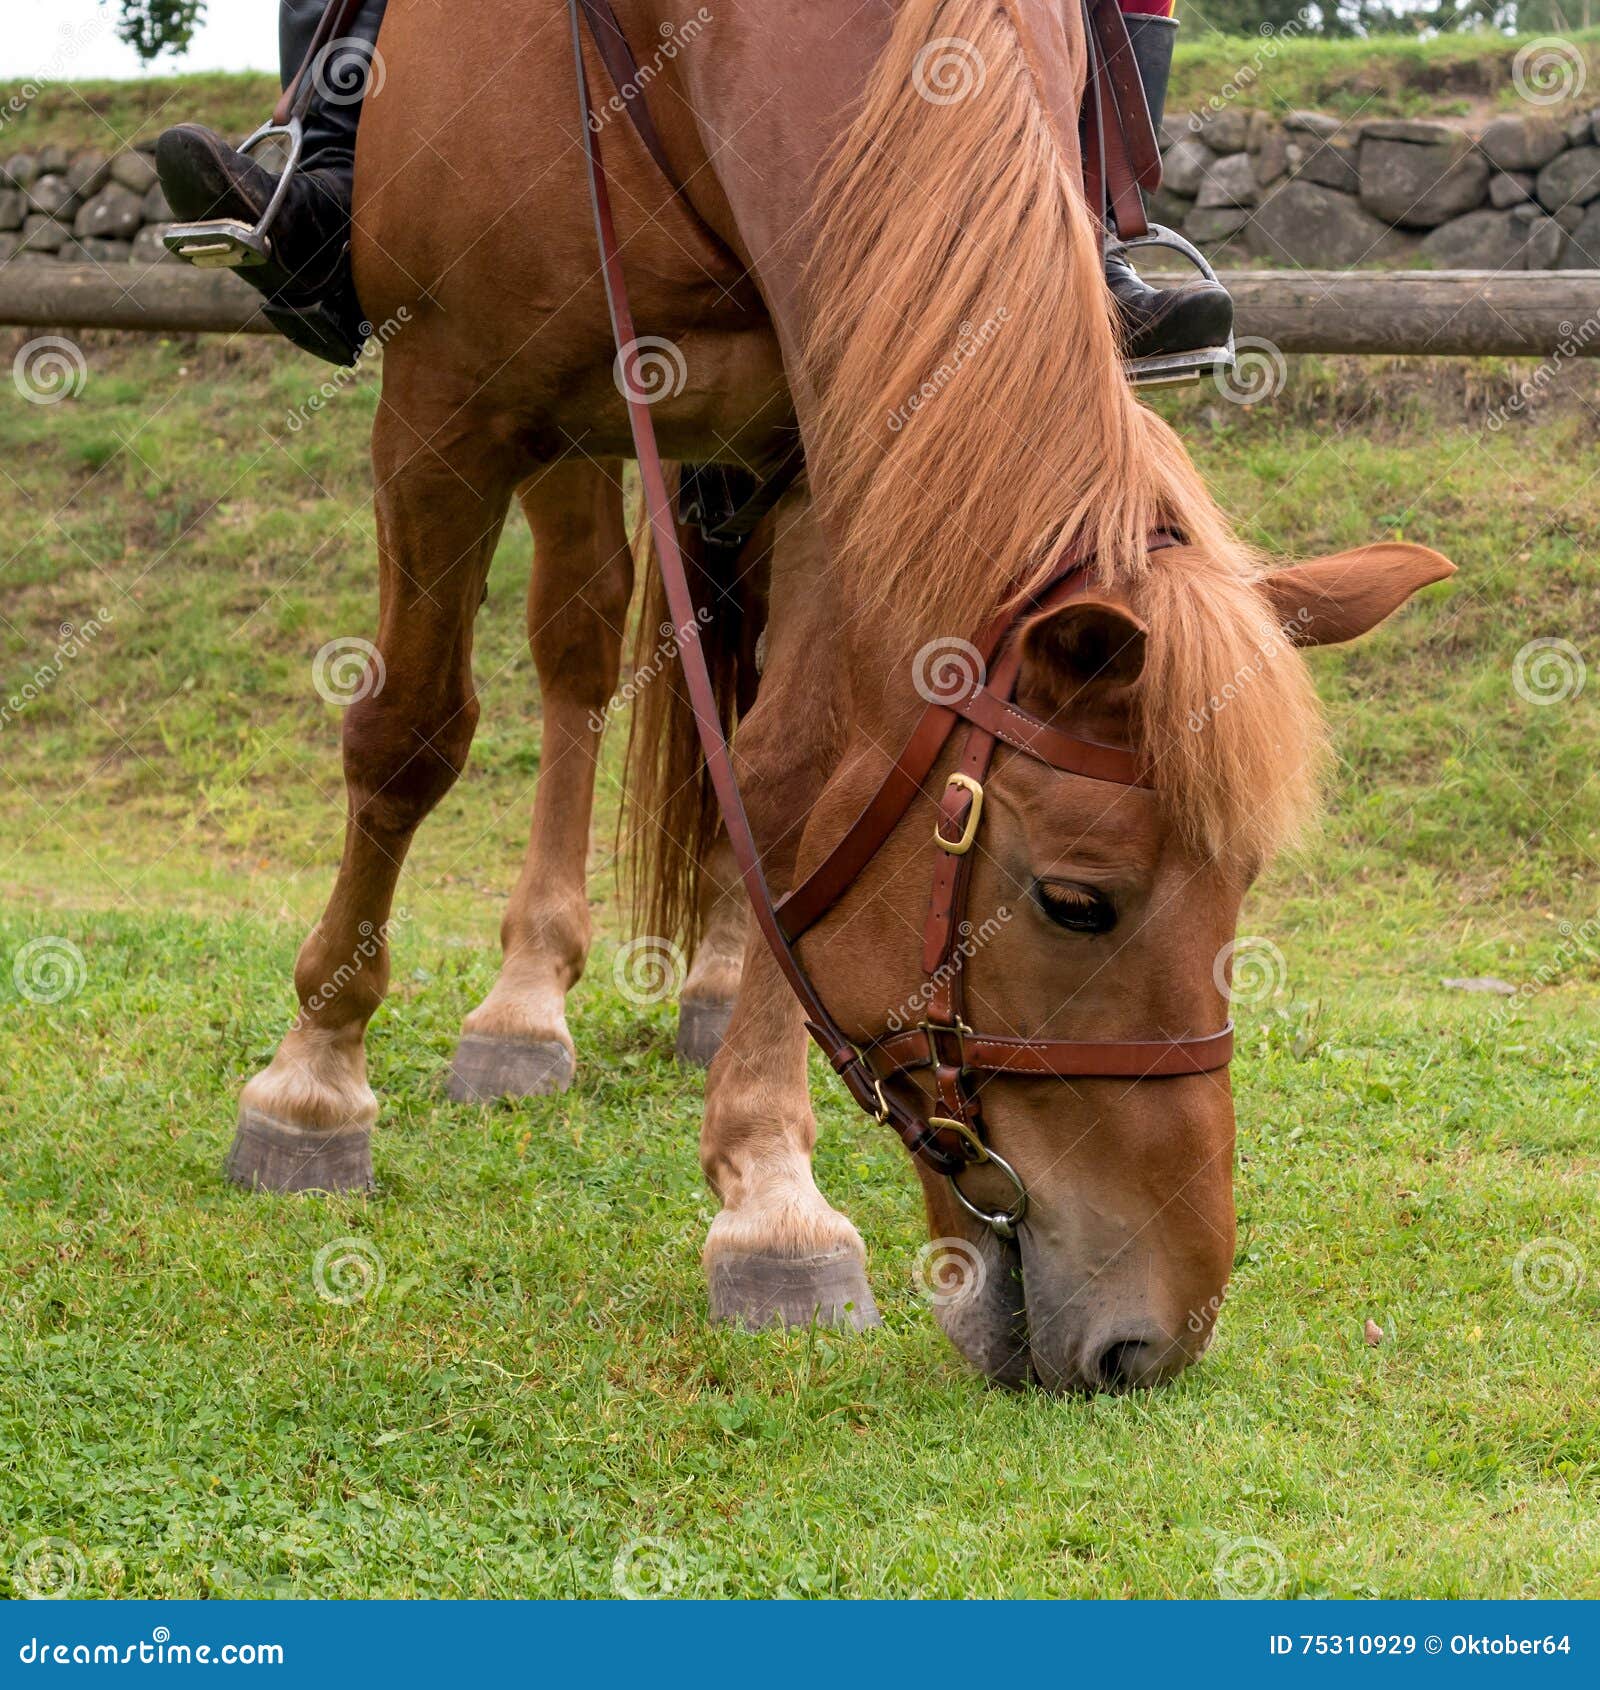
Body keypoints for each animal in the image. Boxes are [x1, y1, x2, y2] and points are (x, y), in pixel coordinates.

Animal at [228, 0, 1455, 1392]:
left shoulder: (833, 440)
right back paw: (522, 1007)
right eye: (1076, 902)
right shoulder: (447, 404)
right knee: (574, 646)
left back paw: (690, 990)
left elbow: (790, 790)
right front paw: (311, 1081)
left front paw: (771, 1198)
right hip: (564, 431)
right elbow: (411, 733)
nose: (1154, 1339)